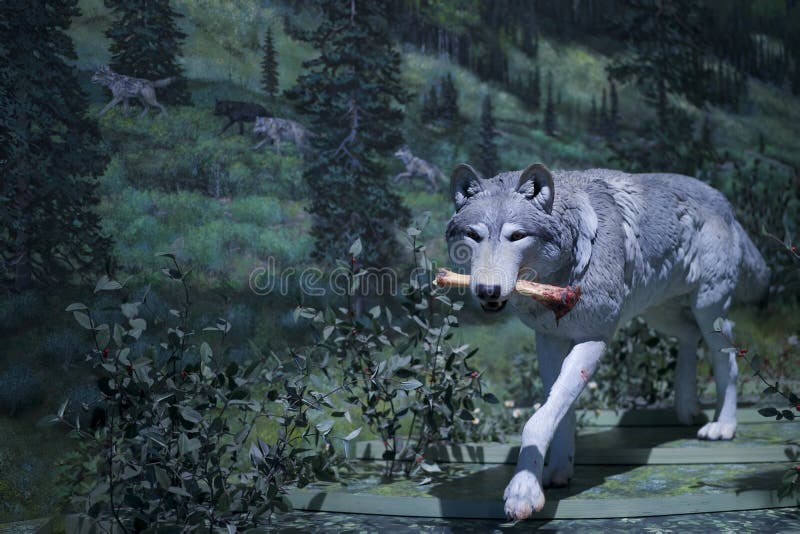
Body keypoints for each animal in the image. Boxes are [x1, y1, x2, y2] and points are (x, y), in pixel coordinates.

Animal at [445, 163, 769, 520]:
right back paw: (687, 408)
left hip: (708, 309)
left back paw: (722, 425)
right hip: (660, 314)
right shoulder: (549, 339)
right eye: (474, 235)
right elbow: (560, 412)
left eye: (516, 236)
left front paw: (523, 492)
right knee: (689, 336)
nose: (487, 291)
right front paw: (557, 472)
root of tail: (724, 202)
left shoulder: (594, 337)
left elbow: (537, 421)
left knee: (729, 359)